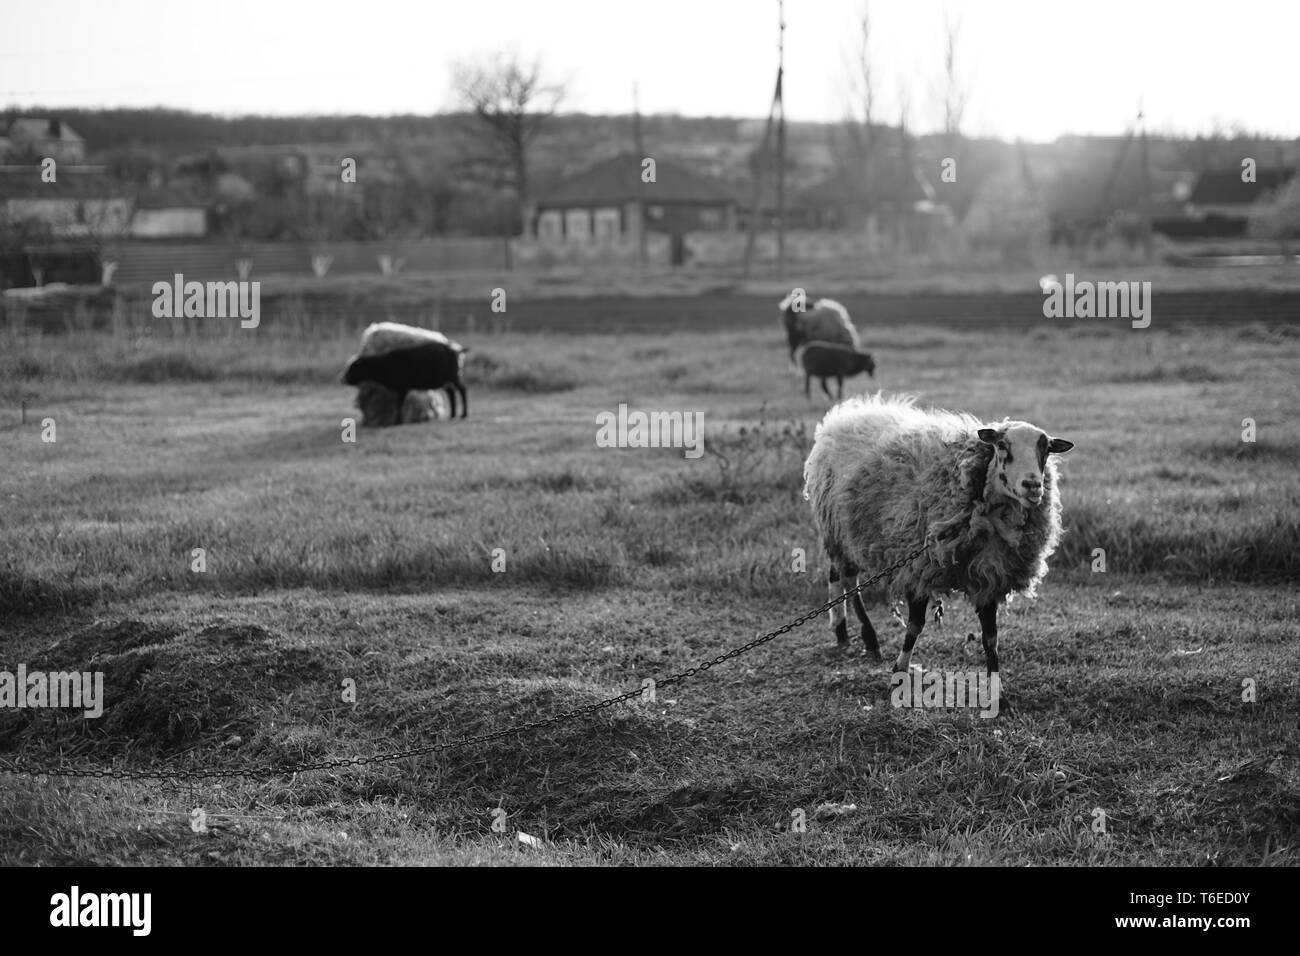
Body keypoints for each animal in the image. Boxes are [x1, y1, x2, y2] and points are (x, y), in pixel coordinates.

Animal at [803, 393, 1074, 708]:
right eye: (1002, 446)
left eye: (1046, 449)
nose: (1032, 486)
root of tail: (846, 414)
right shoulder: (919, 566)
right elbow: (914, 627)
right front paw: (899, 675)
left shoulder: (990, 576)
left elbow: (990, 639)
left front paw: (999, 695)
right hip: (838, 529)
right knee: (845, 578)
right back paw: (865, 637)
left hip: (847, 531)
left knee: (840, 575)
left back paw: (844, 633)